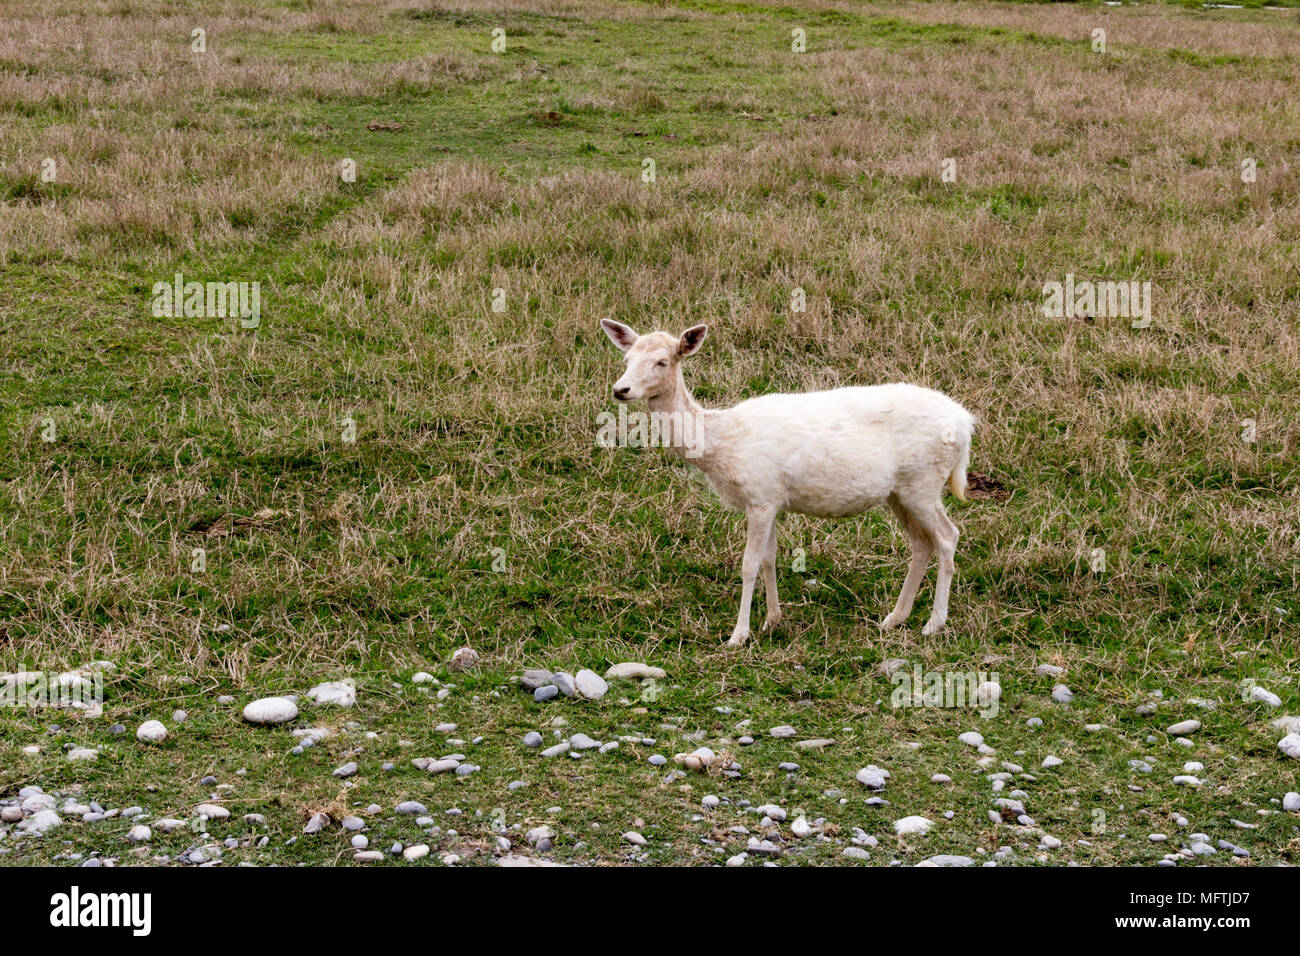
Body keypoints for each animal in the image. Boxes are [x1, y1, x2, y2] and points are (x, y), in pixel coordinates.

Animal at [599, 319, 976, 646]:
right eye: (627, 359)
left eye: (662, 361)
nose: (621, 389)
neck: (720, 444)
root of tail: (966, 424)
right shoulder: (771, 499)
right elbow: (769, 558)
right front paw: (772, 620)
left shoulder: (761, 496)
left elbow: (749, 564)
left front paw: (738, 636)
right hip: (900, 492)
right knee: (922, 543)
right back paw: (894, 618)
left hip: (924, 482)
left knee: (948, 536)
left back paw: (933, 623)